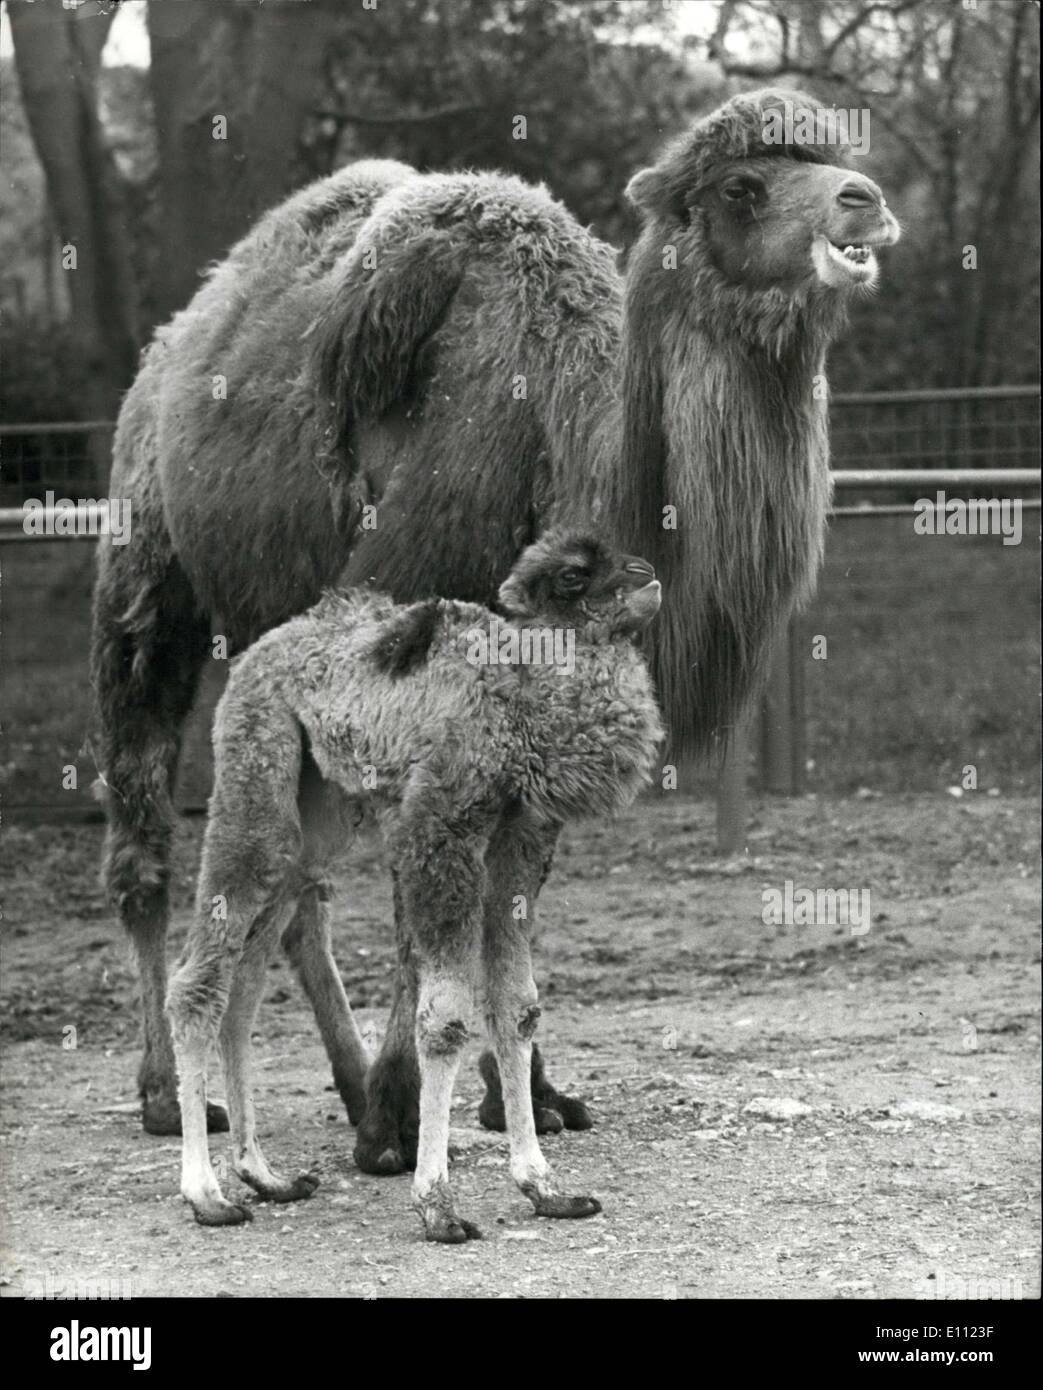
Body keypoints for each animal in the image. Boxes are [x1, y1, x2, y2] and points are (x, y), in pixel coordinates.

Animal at [167, 529, 663, 1240]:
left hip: (319, 814)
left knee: (249, 982)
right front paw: (437, 1205)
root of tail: (257, 653)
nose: (646, 573)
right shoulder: (439, 828)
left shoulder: (523, 837)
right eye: (573, 576)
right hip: (254, 766)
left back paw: (265, 1176)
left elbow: (517, 1007)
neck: (520, 698)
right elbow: (447, 1017)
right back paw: (207, 1195)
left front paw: (546, 1188)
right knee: (201, 974)